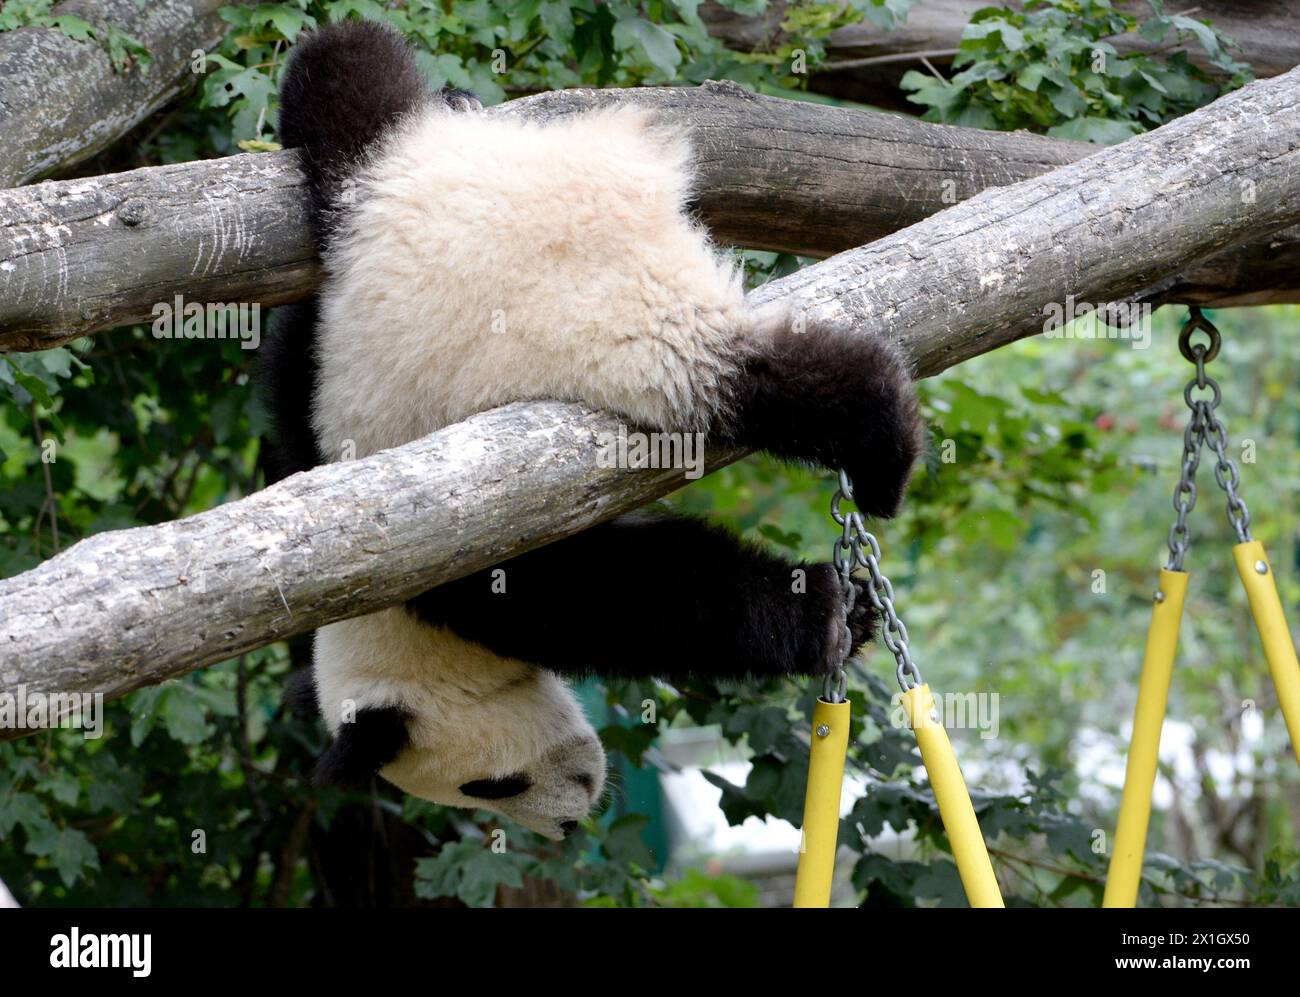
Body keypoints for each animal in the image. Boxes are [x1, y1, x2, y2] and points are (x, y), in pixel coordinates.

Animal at [263, 20, 923, 841]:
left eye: (489, 786)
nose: (568, 824)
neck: (382, 612)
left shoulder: (459, 572)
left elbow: (626, 593)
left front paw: (829, 610)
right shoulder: (312, 402)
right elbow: (292, 379)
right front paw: (839, 610)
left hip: (611, 331)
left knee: (745, 383)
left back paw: (885, 451)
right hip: (400, 186)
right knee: (351, 77)